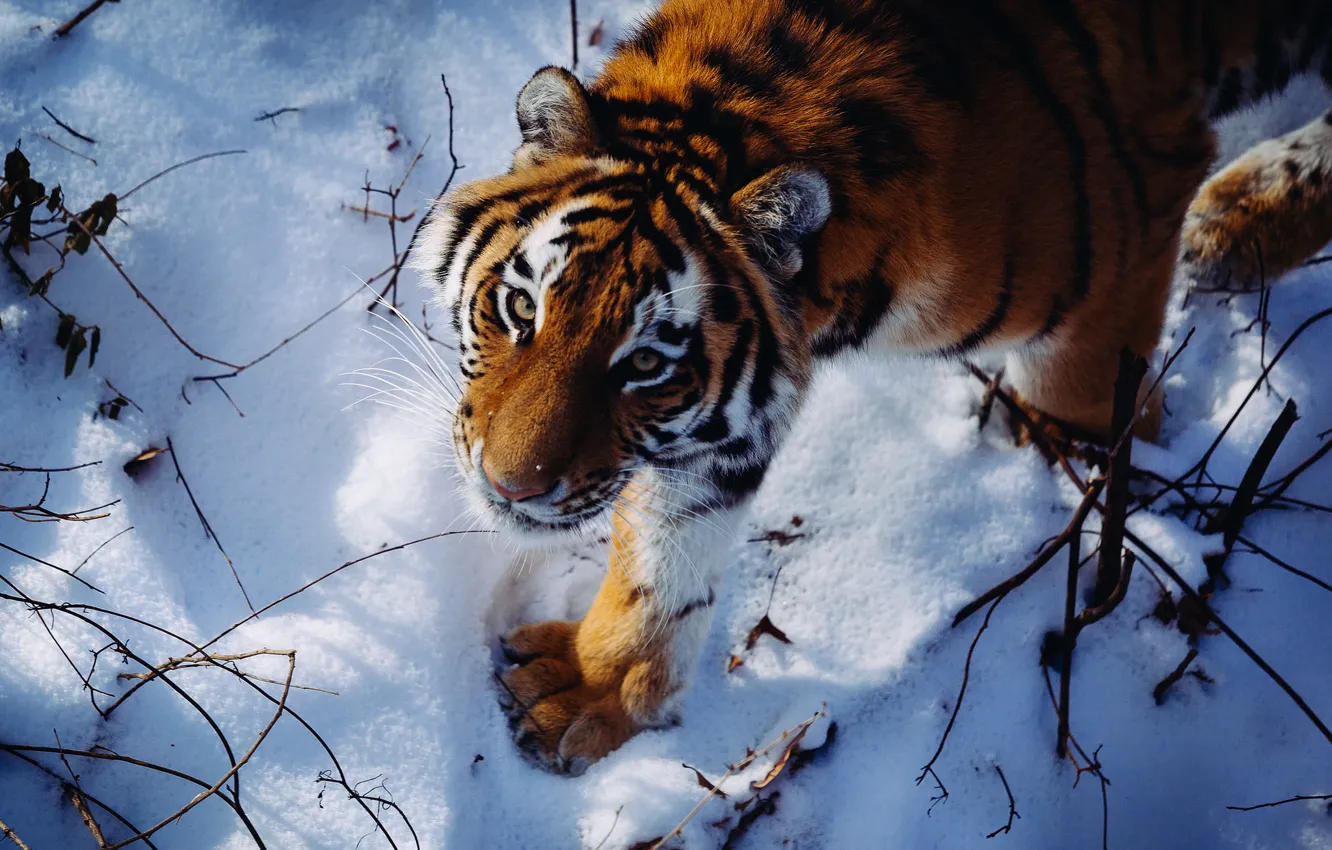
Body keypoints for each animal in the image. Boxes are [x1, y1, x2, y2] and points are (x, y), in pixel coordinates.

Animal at [409, 0, 1332, 774]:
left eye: (644, 364)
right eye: (521, 307)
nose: (508, 486)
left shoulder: (1108, 292)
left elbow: (1080, 431)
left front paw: (1072, 502)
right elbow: (669, 546)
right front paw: (595, 687)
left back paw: (1231, 221)